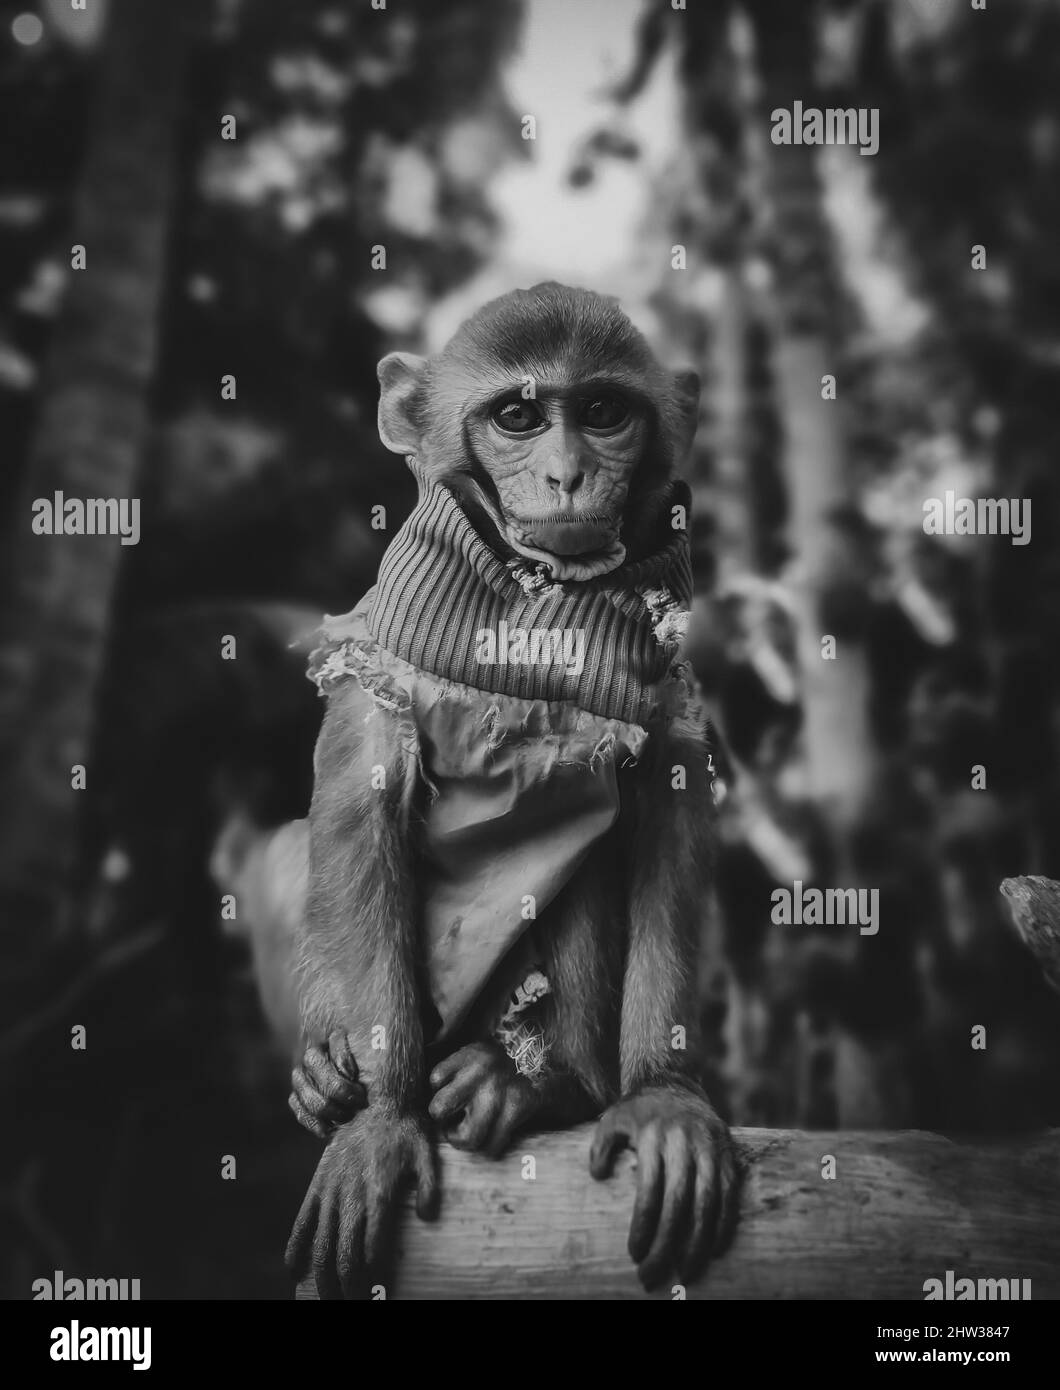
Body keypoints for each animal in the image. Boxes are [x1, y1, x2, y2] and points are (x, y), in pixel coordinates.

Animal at [284, 282, 738, 1299]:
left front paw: (664, 1097)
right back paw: (334, 1072)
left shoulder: (666, 675)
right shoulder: (383, 654)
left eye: (603, 412)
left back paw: (537, 1083)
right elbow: (360, 810)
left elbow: (666, 817)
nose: (568, 475)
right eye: (519, 418)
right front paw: (381, 1120)